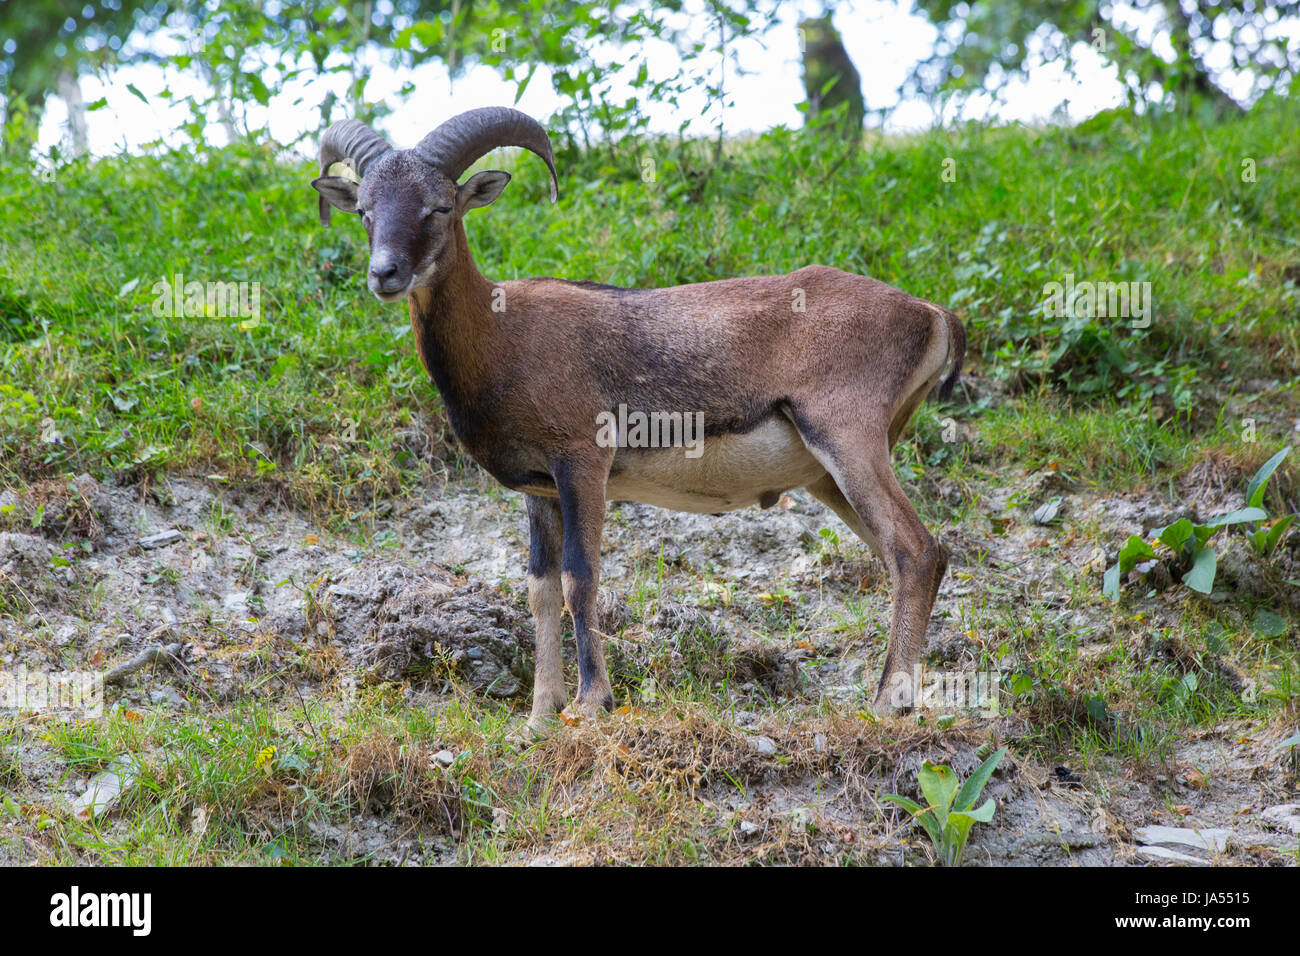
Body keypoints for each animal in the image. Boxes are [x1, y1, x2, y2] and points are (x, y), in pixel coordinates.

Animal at [311, 107, 966, 730]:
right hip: (829, 478)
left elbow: (580, 577)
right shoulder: (538, 491)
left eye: (441, 205)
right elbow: (540, 589)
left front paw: (591, 703)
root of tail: (930, 314)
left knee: (916, 550)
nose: (385, 274)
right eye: (365, 211)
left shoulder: (582, 463)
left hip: (848, 440)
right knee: (906, 557)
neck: (502, 338)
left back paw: (887, 703)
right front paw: (539, 717)